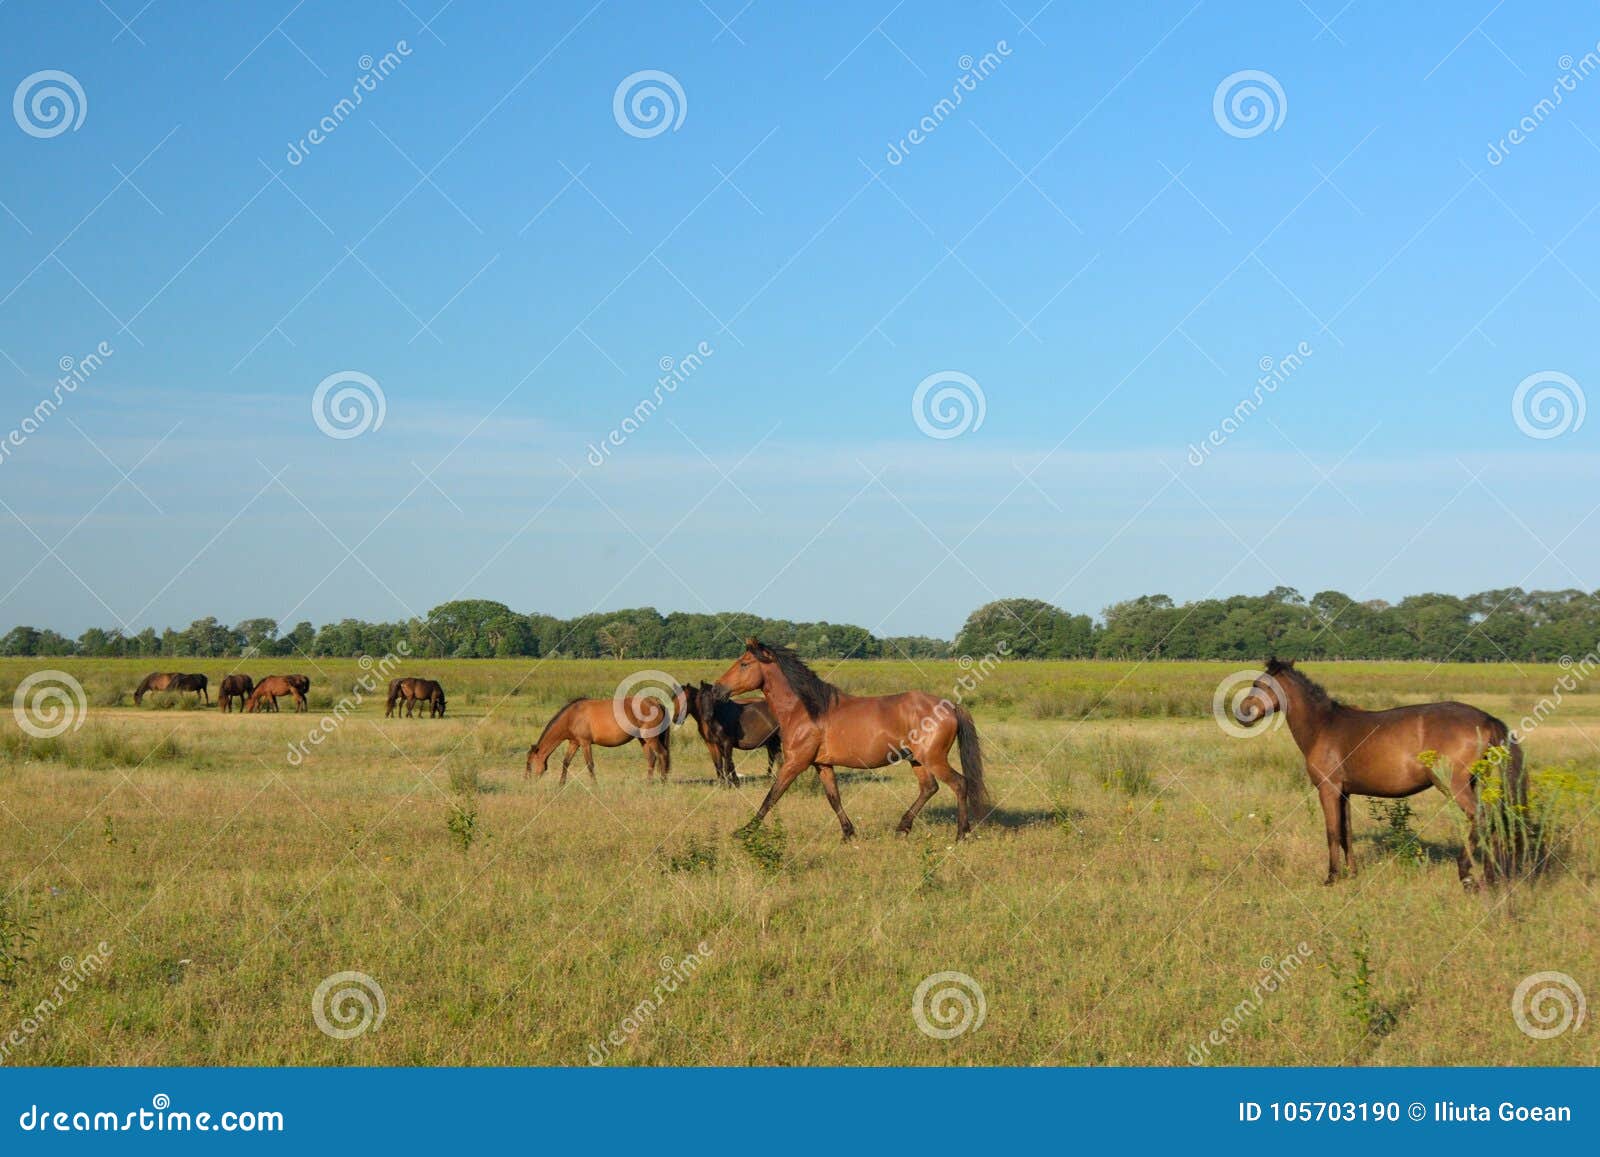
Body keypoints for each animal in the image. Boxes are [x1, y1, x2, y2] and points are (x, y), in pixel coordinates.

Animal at [526, 695, 677, 783]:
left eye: (529, 764)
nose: (527, 781)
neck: (572, 716)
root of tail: (654, 702)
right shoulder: (574, 743)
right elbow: (566, 762)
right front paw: (561, 784)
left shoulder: (585, 743)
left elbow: (590, 764)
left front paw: (594, 785)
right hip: (643, 740)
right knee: (652, 758)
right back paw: (649, 783)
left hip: (651, 738)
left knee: (662, 754)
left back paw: (663, 781)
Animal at [714, 639, 991, 840]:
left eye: (744, 664)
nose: (717, 689)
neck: (806, 710)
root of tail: (951, 706)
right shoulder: (822, 764)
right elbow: (833, 798)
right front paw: (848, 834)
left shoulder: (795, 763)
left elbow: (772, 796)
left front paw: (745, 831)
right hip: (917, 759)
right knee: (929, 788)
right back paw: (902, 828)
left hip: (933, 758)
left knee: (959, 783)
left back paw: (961, 834)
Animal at [1232, 658, 1525, 889]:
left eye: (1259, 684)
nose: (1242, 712)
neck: (1323, 726)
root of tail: (1485, 719)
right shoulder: (1344, 793)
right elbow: (1346, 833)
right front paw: (1351, 873)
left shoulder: (1328, 790)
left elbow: (1332, 832)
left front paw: (1331, 877)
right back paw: (1490, 874)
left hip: (1455, 786)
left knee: (1482, 818)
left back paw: (1466, 872)